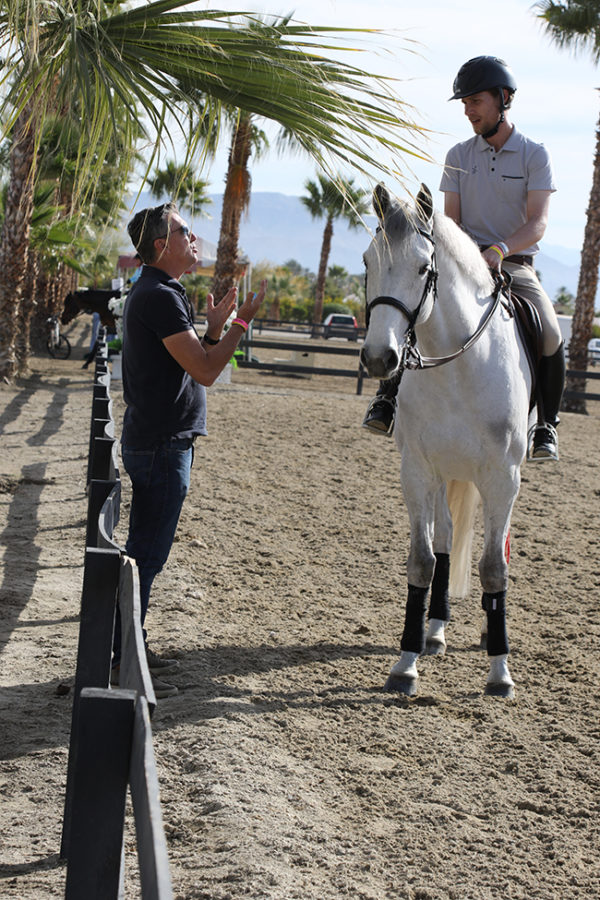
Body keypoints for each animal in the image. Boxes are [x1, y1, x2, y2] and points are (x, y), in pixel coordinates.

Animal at [361, 183, 533, 700]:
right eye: (367, 262)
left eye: (424, 267)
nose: (379, 358)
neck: (458, 363)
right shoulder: (417, 470)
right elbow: (423, 561)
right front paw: (406, 663)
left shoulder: (502, 477)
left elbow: (494, 567)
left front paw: (500, 673)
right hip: (443, 473)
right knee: (445, 542)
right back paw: (435, 631)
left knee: (495, 546)